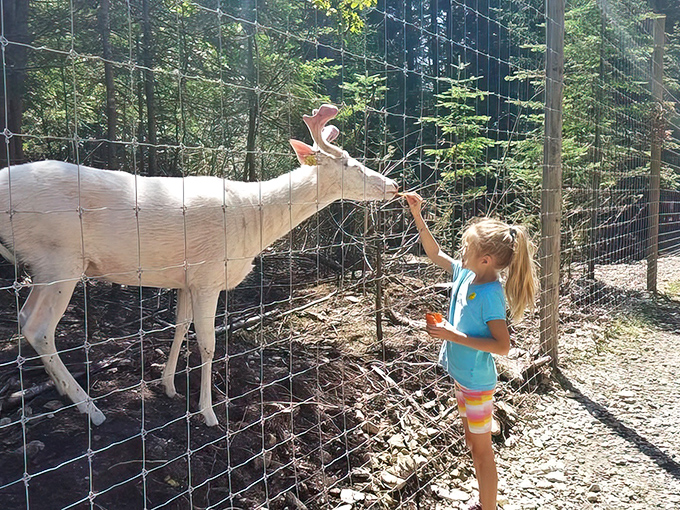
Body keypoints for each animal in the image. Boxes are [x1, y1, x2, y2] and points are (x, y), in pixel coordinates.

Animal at [0, 104, 399, 426]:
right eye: (349, 164)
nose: (393, 185)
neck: (252, 223)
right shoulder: (209, 274)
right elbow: (208, 343)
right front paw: (208, 413)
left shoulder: (186, 278)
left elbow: (179, 326)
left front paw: (169, 386)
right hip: (60, 255)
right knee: (38, 327)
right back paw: (90, 408)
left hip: (44, 263)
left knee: (23, 317)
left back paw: (66, 393)